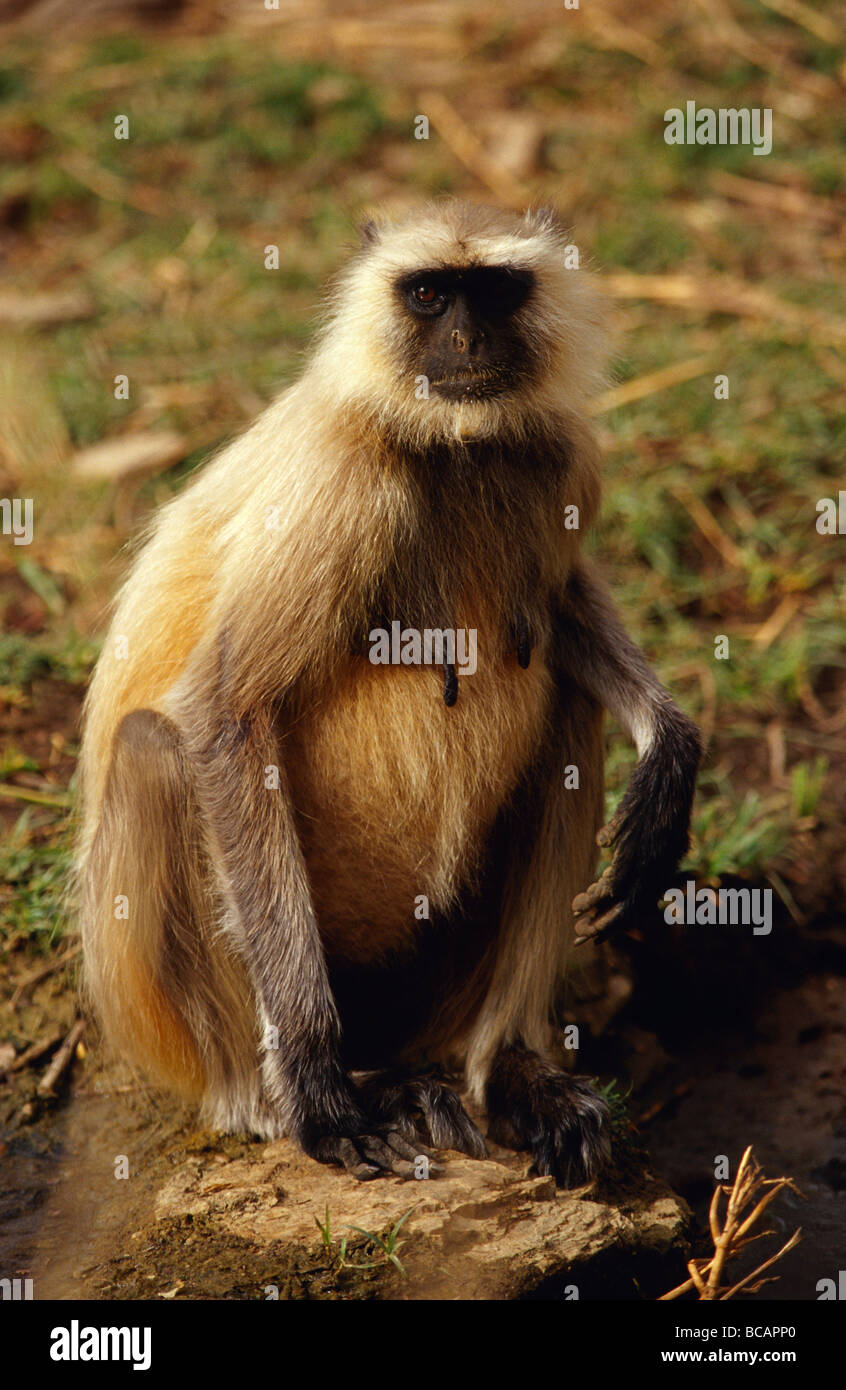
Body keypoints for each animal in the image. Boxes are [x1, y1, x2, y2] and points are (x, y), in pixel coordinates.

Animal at [78, 201, 702, 1188]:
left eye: (494, 289)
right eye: (429, 294)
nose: (466, 338)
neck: (450, 446)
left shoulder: (559, 455)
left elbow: (563, 607)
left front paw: (671, 751)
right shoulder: (343, 481)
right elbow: (223, 714)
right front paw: (315, 1088)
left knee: (568, 703)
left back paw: (506, 1070)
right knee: (155, 751)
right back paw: (282, 1098)